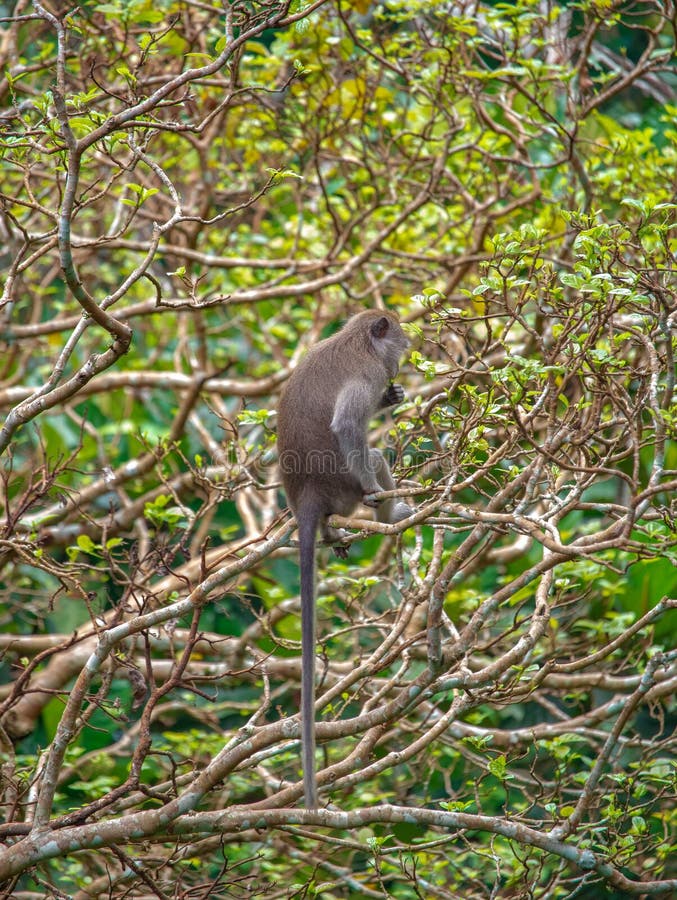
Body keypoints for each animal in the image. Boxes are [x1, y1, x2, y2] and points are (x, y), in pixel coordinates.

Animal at [277, 309, 414, 808]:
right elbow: (348, 429)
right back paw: (390, 510)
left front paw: (392, 398)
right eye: (399, 342)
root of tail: (307, 496)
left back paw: (329, 531)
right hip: (344, 487)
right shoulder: (367, 373)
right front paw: (379, 493)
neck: (357, 341)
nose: (401, 360)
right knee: (371, 454)